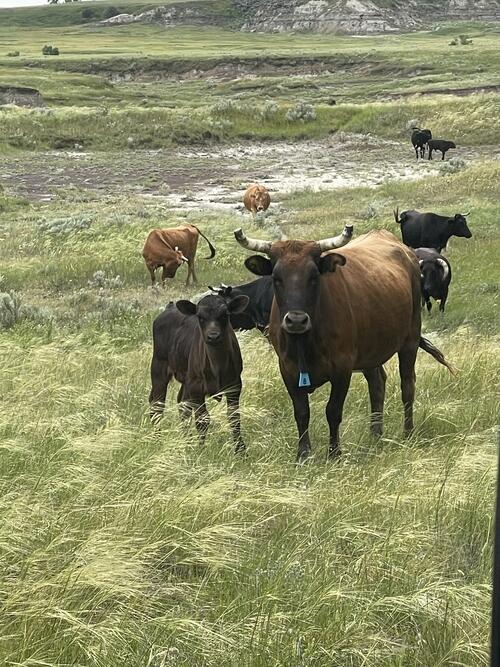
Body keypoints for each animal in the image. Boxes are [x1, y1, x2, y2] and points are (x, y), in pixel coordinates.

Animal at [149, 293, 249, 452]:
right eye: (200, 317)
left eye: (224, 315)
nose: (213, 336)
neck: (217, 366)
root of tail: (169, 308)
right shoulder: (196, 388)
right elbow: (203, 419)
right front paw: (201, 450)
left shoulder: (235, 385)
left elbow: (234, 418)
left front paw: (240, 450)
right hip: (159, 367)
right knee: (157, 406)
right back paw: (157, 440)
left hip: (186, 379)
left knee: (182, 405)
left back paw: (186, 441)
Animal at [234, 227, 454, 462]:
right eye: (276, 278)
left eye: (314, 276)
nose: (296, 320)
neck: (305, 342)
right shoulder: (287, 369)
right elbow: (301, 412)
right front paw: (303, 455)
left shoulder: (342, 368)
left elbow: (333, 411)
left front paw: (334, 453)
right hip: (370, 351)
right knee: (377, 384)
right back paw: (375, 435)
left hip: (409, 341)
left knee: (407, 386)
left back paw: (407, 433)